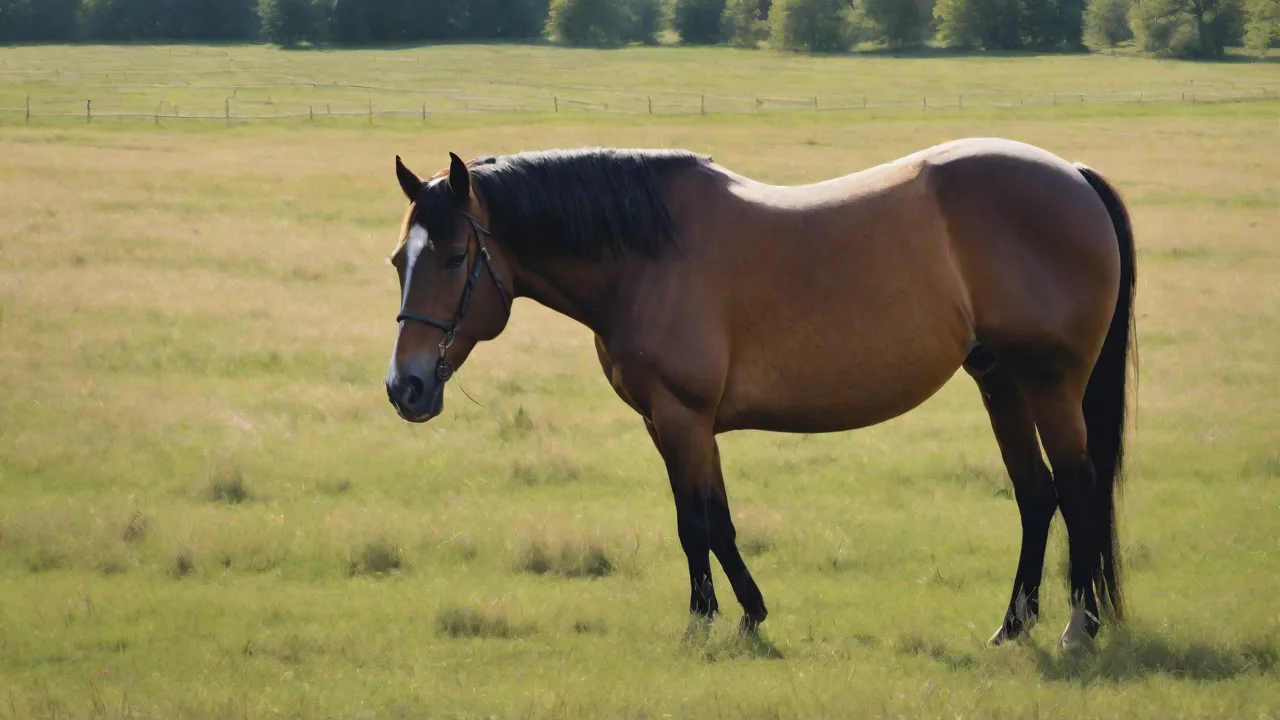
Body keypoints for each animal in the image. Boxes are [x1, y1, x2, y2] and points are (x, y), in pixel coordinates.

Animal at [383, 139, 1136, 652]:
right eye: (399, 260)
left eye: (454, 257)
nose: (405, 387)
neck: (648, 257)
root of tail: (1074, 176)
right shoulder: (682, 424)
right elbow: (717, 520)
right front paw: (750, 613)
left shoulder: (680, 417)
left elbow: (693, 525)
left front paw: (702, 623)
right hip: (1001, 381)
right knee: (1037, 495)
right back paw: (1013, 625)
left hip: (1049, 385)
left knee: (1077, 488)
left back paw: (1078, 628)